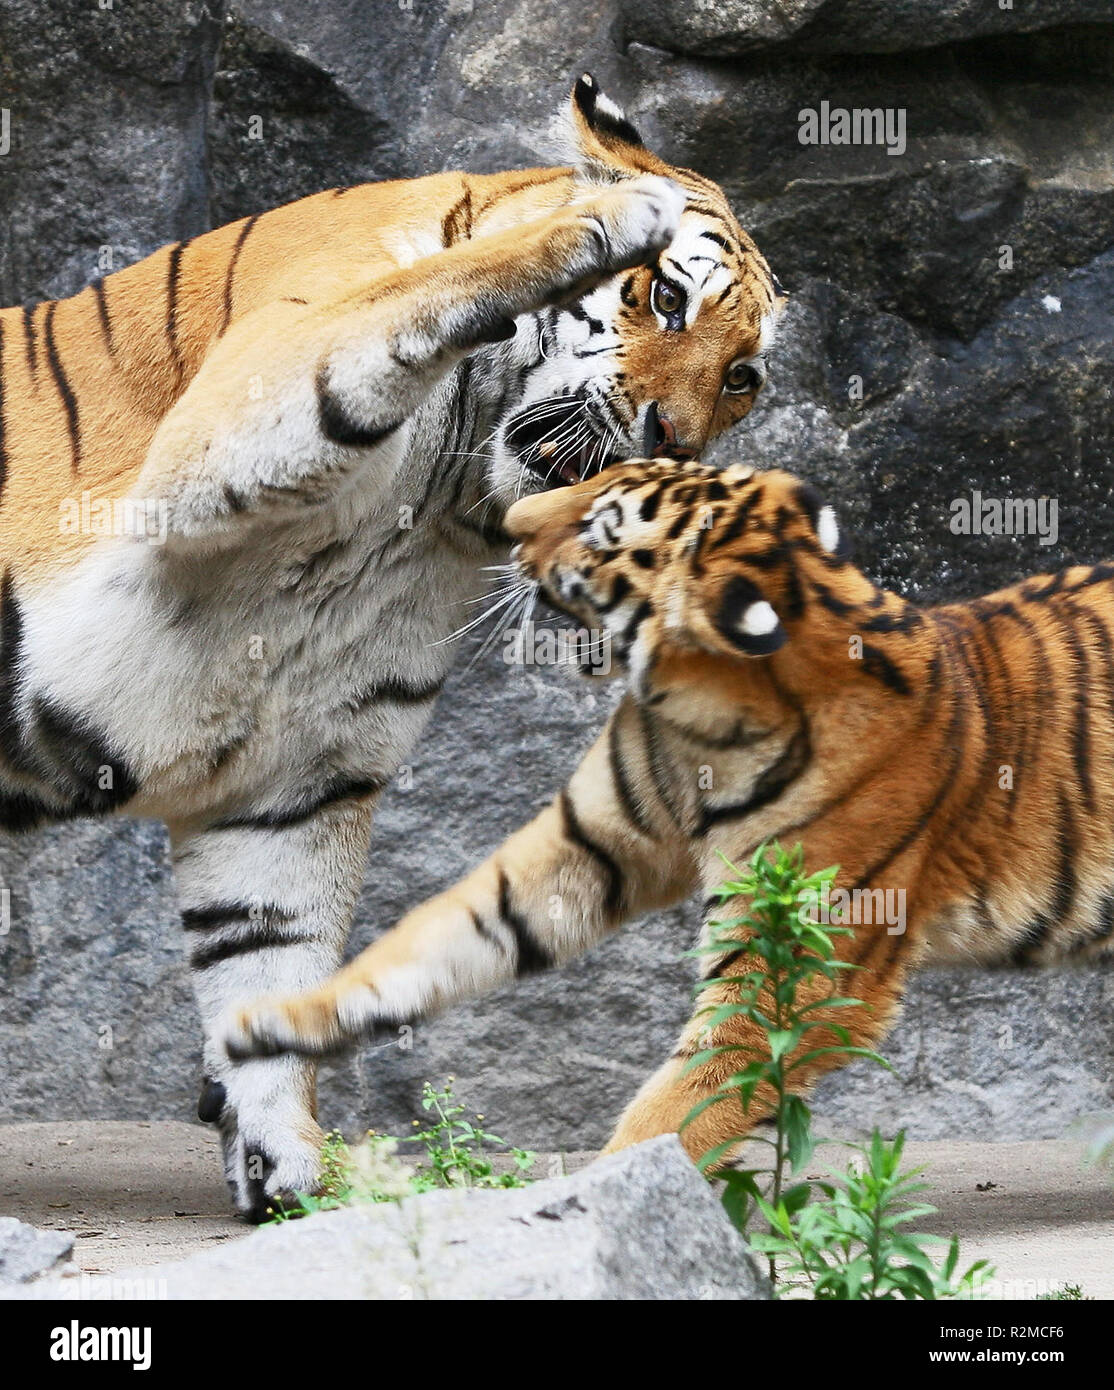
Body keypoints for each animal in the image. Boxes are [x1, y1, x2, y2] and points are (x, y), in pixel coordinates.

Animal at [0, 77, 786, 1218]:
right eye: (665, 300)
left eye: (740, 379)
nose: (672, 438)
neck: (432, 502)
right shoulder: (238, 404)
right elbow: (412, 295)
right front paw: (605, 222)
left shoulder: (296, 778)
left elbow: (269, 954)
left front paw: (285, 1169)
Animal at [221, 456, 1114, 1164]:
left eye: (599, 527)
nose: (507, 521)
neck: (702, 722)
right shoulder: (583, 847)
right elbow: (436, 937)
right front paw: (267, 1024)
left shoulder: (795, 972)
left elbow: (683, 1103)